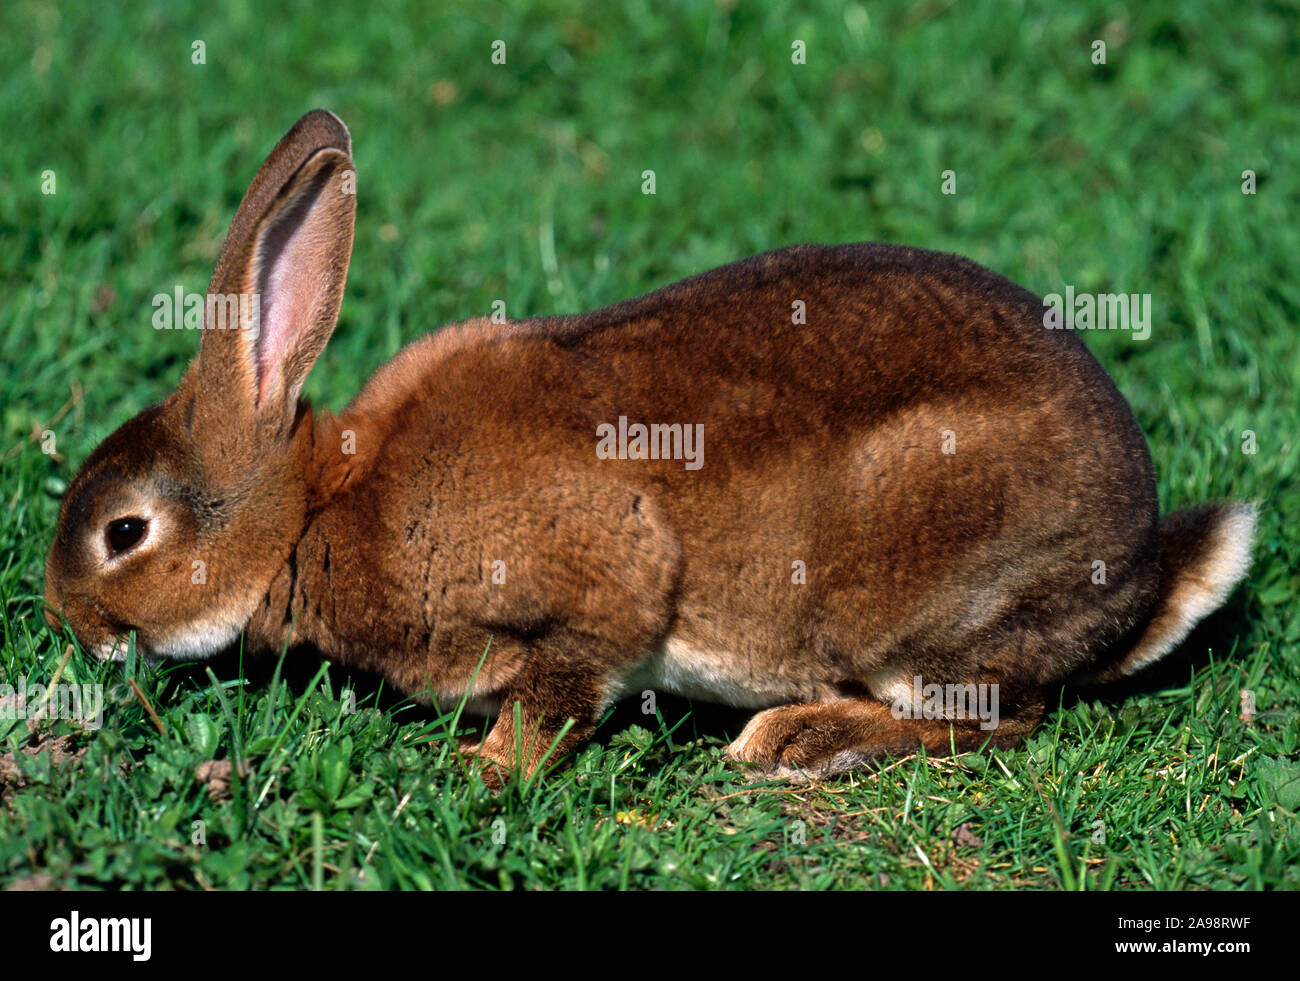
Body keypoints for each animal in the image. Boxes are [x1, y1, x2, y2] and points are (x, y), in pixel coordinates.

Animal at [44, 110, 1257, 784]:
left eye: (124, 533)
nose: (66, 623)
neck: (318, 507)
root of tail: (1139, 571)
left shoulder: (594, 592)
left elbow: (560, 692)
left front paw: (480, 774)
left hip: (919, 593)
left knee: (1000, 714)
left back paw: (798, 742)